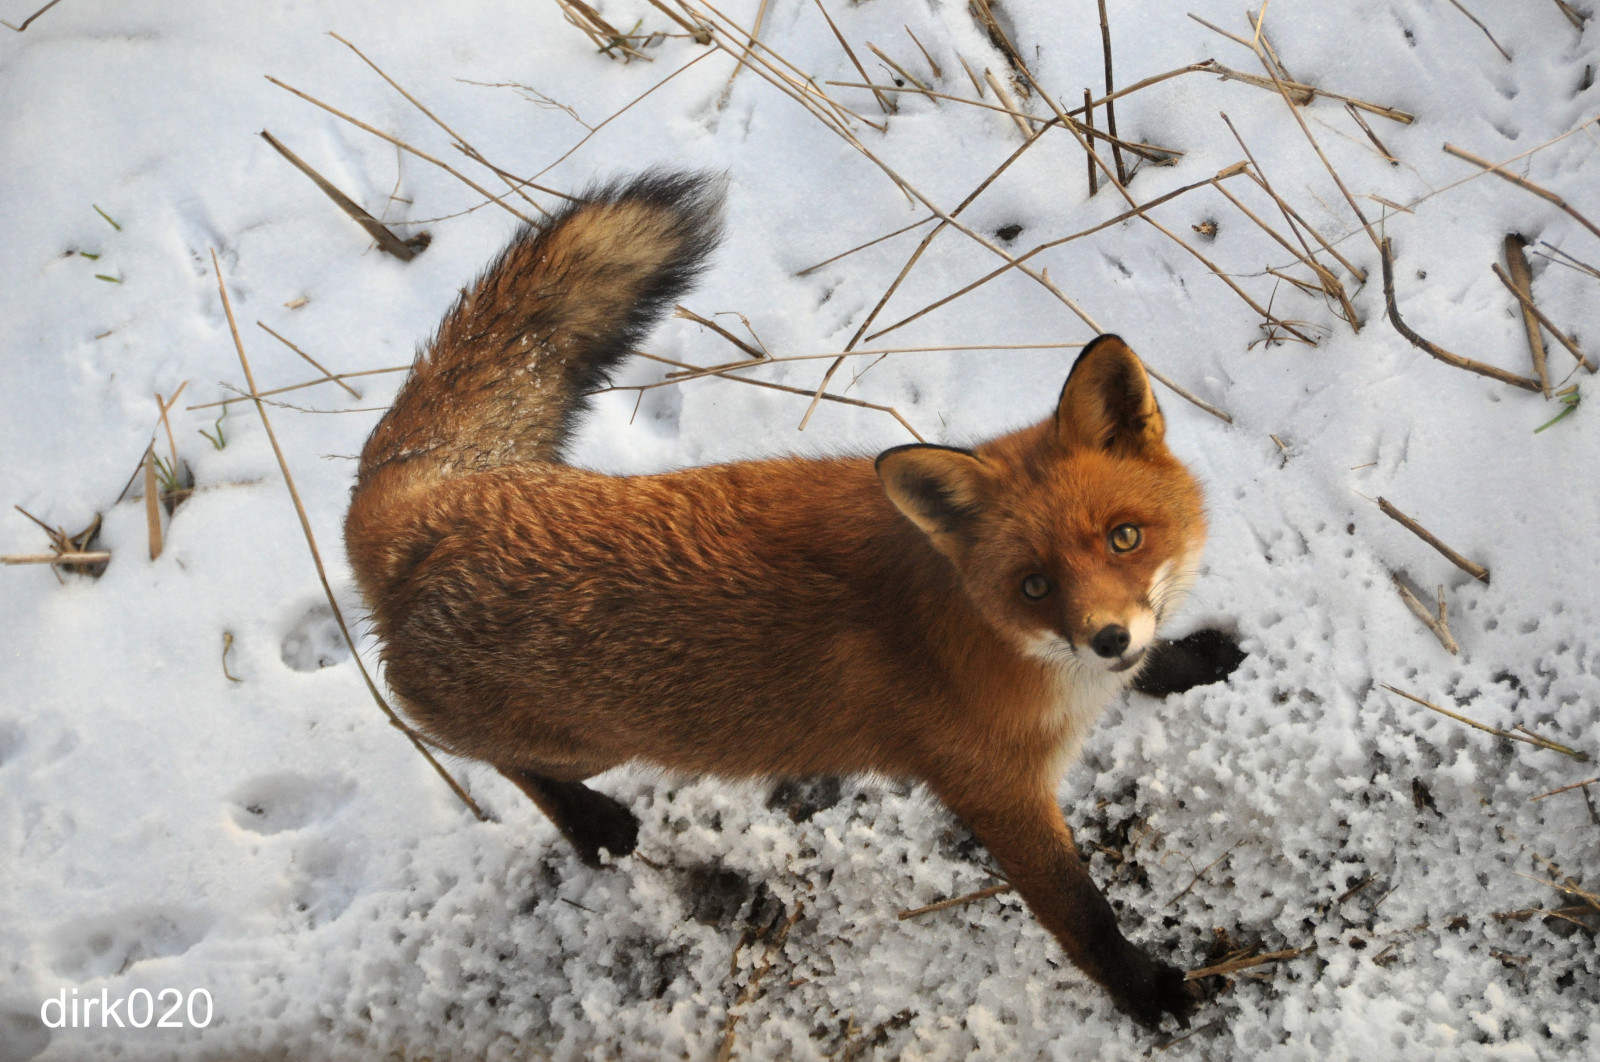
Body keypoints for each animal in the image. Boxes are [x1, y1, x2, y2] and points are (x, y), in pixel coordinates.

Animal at [344, 171, 1244, 1027]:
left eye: (1124, 539)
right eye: (1034, 585)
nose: (1106, 639)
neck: (1004, 647)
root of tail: (424, 506)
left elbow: (1157, 660)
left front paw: (1186, 661)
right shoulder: (998, 793)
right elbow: (1084, 916)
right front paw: (1146, 991)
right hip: (579, 743)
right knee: (508, 763)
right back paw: (591, 828)